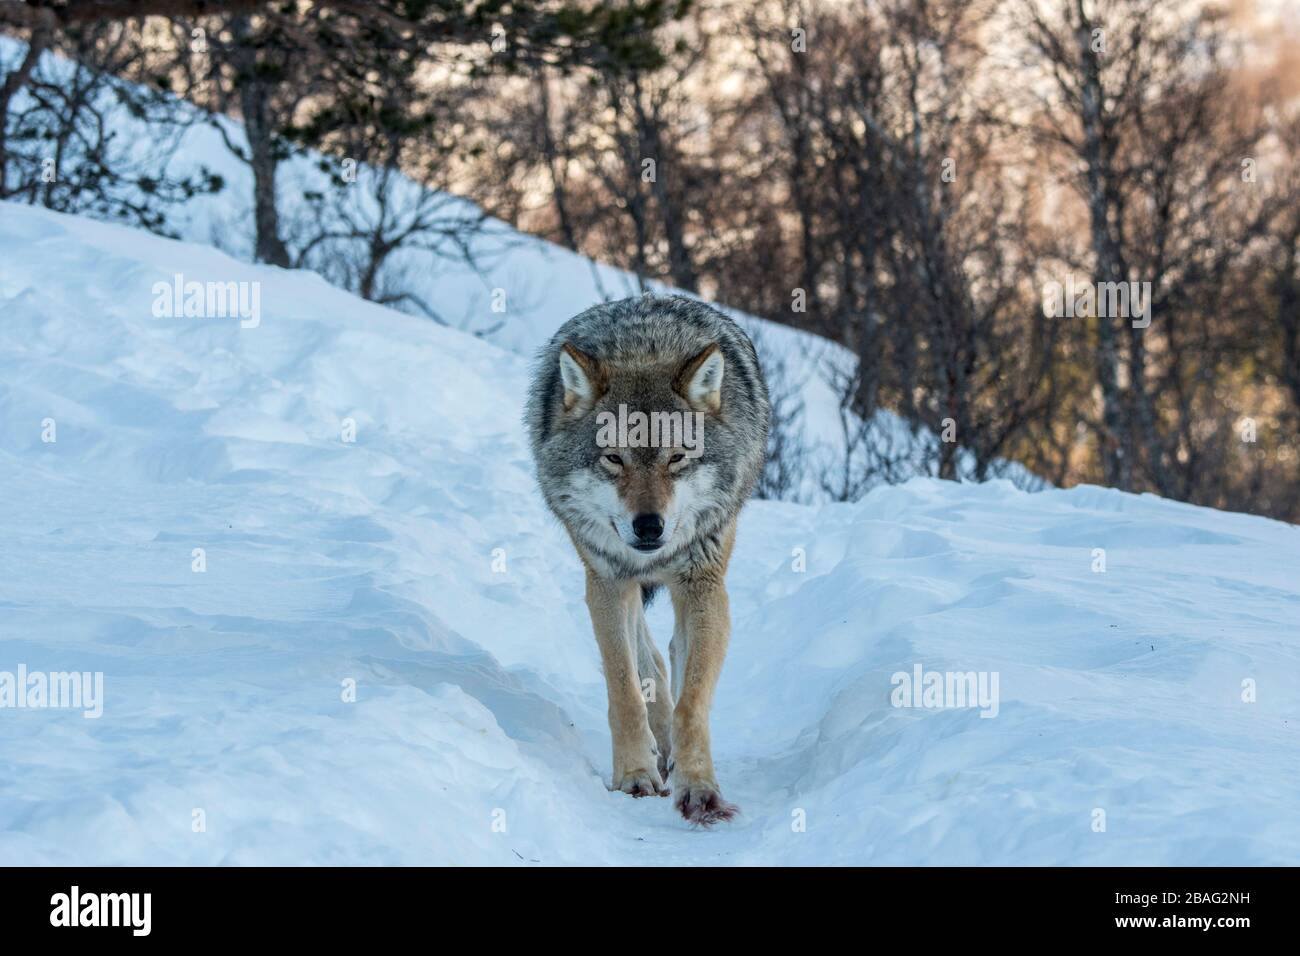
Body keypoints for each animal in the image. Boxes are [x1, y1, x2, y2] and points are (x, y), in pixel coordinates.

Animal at [526, 293, 770, 825]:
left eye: (676, 458)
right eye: (614, 458)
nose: (649, 526)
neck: (643, 348)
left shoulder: (702, 584)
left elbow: (692, 703)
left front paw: (698, 787)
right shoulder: (607, 580)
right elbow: (625, 689)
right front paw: (636, 774)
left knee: (673, 655)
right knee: (650, 660)